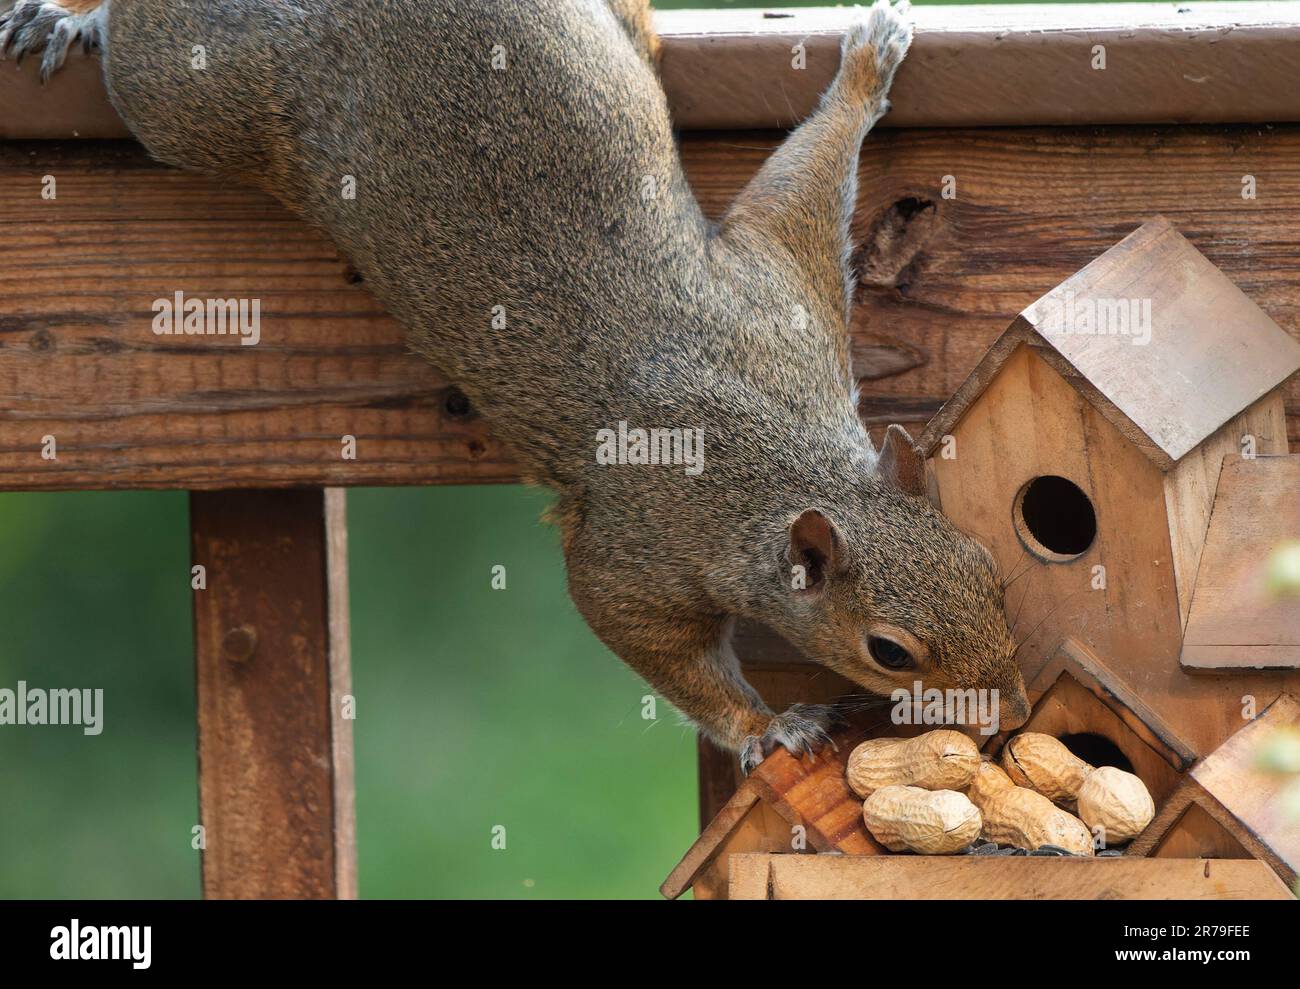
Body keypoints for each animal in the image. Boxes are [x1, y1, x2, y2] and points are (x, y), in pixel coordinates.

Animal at [3, 0, 1031, 771]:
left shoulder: (786, 297)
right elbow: (648, 640)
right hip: (193, 93)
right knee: (150, 38)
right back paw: (73, 12)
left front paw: (868, 63)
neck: (772, 448)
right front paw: (767, 725)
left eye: (993, 577)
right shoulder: (634, 550)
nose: (1014, 713)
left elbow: (804, 178)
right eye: (888, 653)